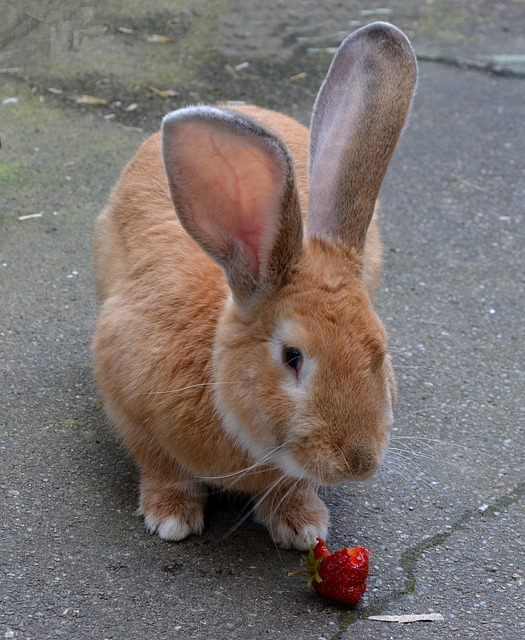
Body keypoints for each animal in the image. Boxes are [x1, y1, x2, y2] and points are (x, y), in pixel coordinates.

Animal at [91, 22, 417, 551]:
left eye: (380, 352)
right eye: (292, 357)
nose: (358, 462)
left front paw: (303, 525)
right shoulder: (125, 402)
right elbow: (160, 464)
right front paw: (170, 516)